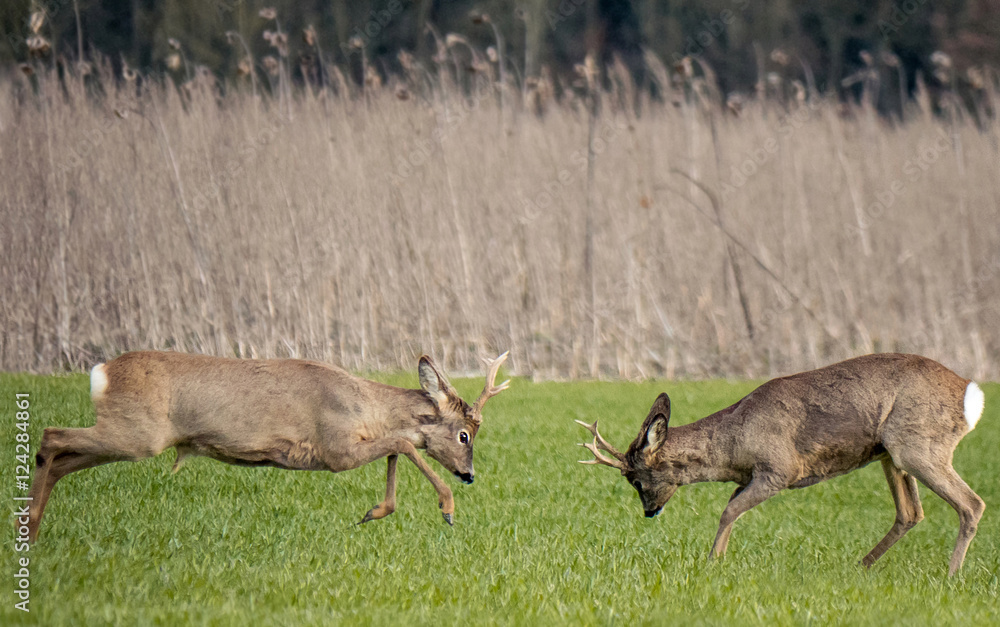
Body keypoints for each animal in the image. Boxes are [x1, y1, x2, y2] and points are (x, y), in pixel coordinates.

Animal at [25, 350, 510, 542]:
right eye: (465, 435)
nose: (469, 475)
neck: (364, 407)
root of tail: (101, 372)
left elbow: (397, 445)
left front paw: (374, 512)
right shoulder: (334, 449)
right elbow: (403, 445)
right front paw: (447, 509)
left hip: (126, 435)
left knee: (61, 458)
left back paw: (30, 529)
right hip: (137, 433)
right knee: (51, 437)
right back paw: (28, 524)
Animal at [576, 353, 986, 576]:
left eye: (635, 480)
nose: (649, 512)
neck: (735, 445)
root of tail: (970, 393)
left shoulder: (780, 468)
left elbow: (729, 511)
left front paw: (712, 564)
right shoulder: (748, 477)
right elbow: (732, 508)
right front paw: (717, 560)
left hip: (917, 446)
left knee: (972, 504)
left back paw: (951, 576)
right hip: (890, 453)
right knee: (910, 512)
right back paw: (861, 565)